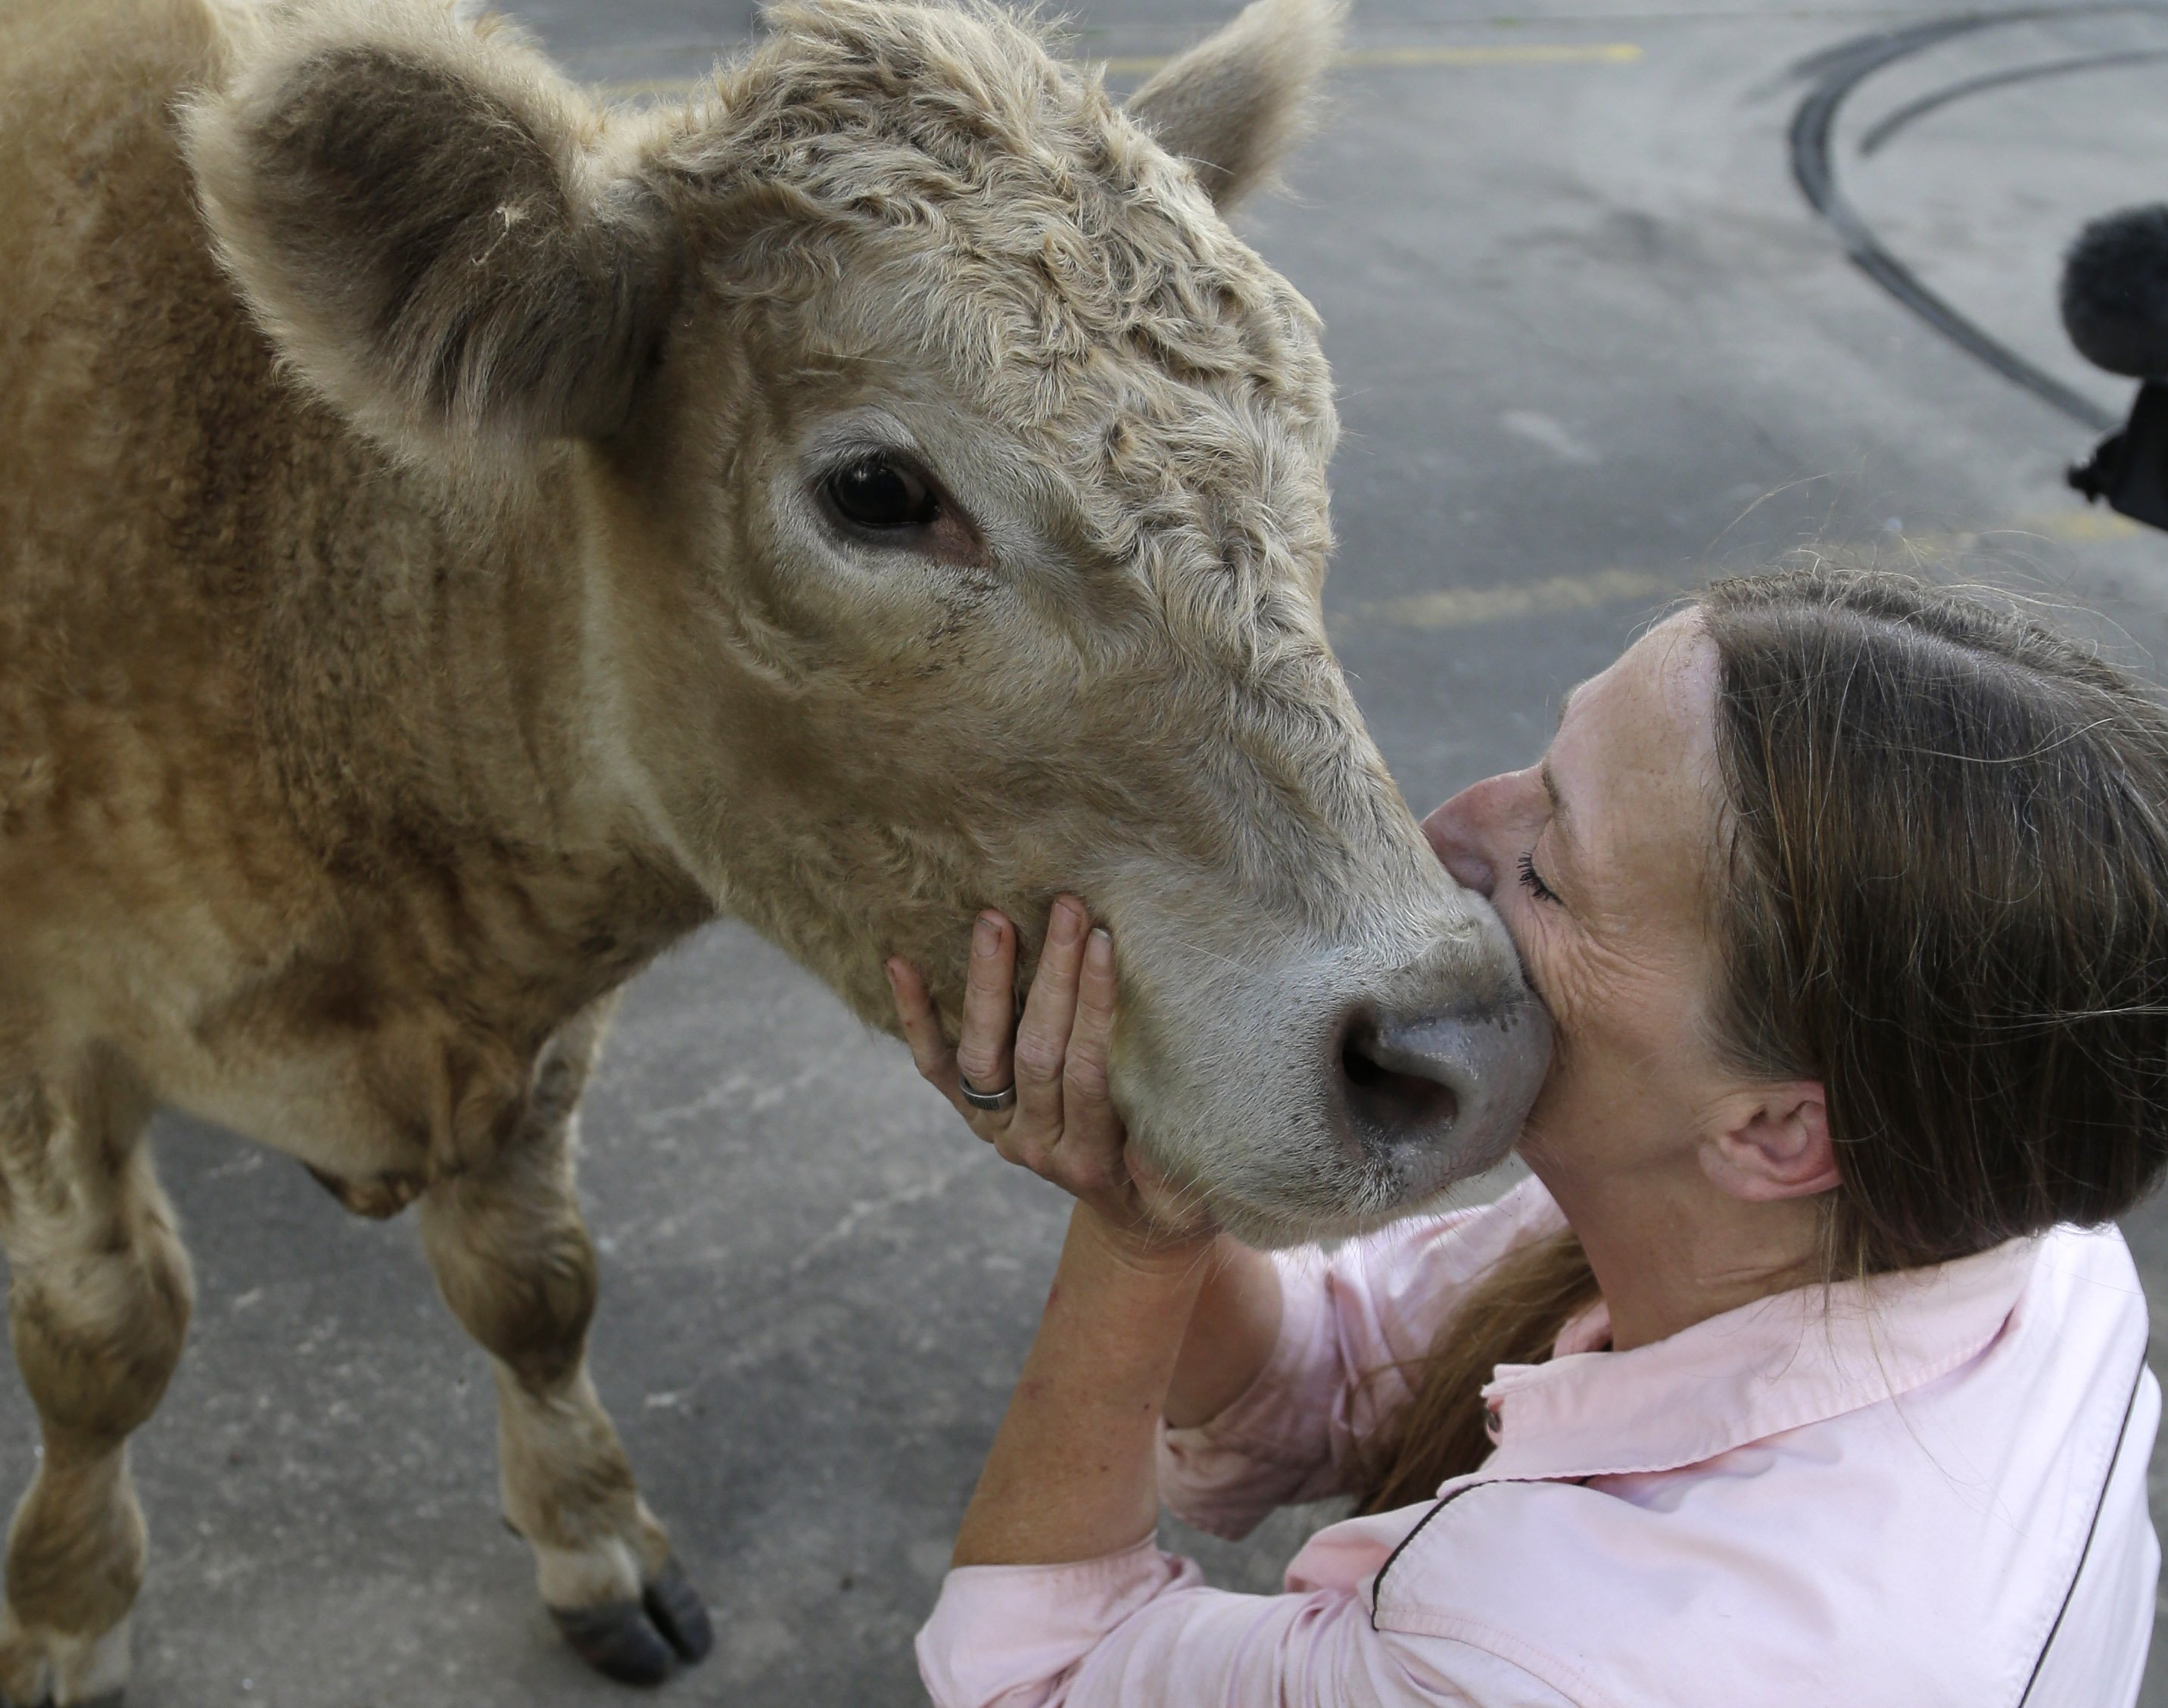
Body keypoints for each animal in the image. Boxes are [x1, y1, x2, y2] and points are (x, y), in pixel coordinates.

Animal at [0, 0, 1550, 1697]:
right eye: (875, 490)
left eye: (1301, 440)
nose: (1456, 1044)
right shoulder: (44, 1044)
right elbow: (103, 1340)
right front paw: (66, 1612)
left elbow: (535, 1280)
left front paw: (588, 1534)